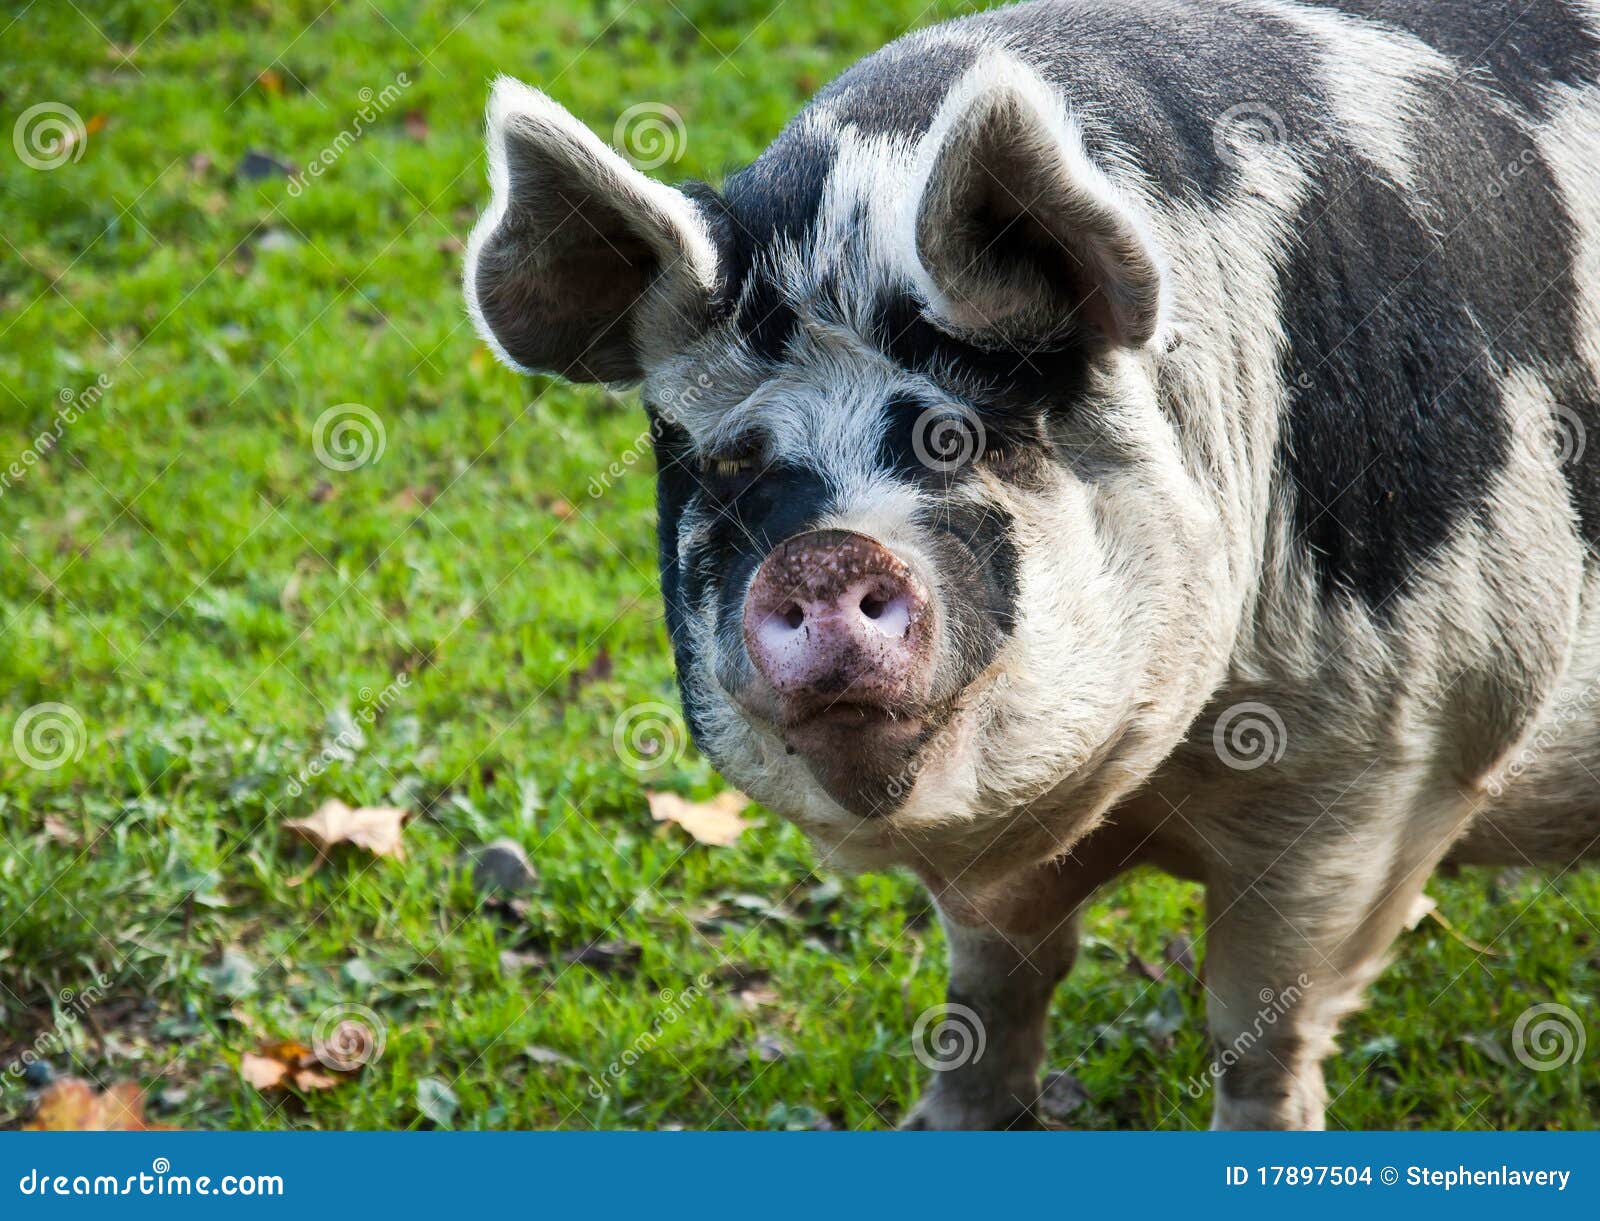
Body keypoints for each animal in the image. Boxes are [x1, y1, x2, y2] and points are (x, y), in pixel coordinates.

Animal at [465, 0, 1600, 1129]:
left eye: (957, 437)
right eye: (727, 465)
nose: (824, 555)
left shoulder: (1390, 754)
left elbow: (1260, 1021)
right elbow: (997, 976)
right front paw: (941, 1123)